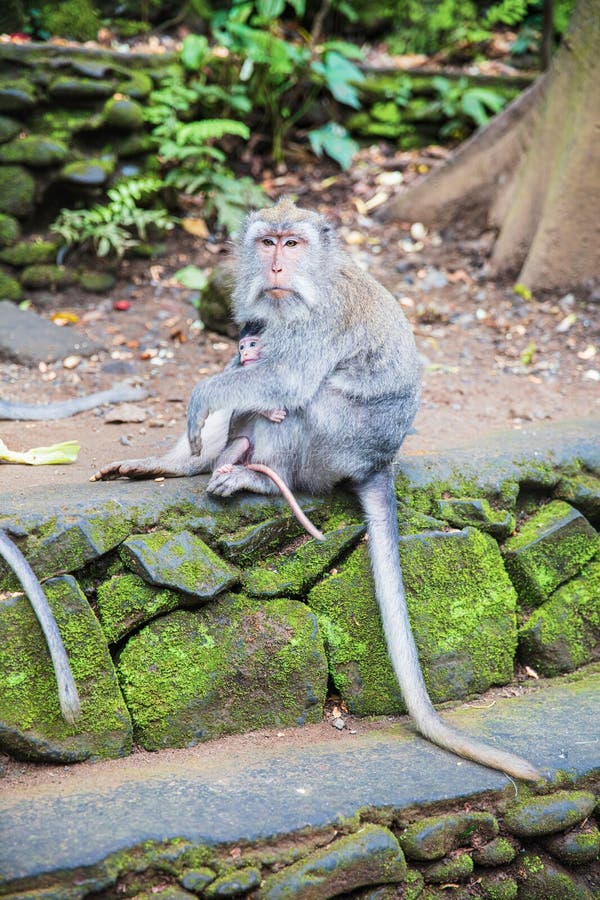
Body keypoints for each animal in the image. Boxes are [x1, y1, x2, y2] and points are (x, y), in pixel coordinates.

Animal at [93, 198, 539, 781]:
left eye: (293, 243)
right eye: (267, 242)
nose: (277, 266)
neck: (310, 284)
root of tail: (381, 461)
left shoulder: (316, 323)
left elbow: (283, 383)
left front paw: (202, 397)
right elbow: (249, 372)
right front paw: (164, 459)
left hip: (340, 445)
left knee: (304, 401)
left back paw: (255, 474)